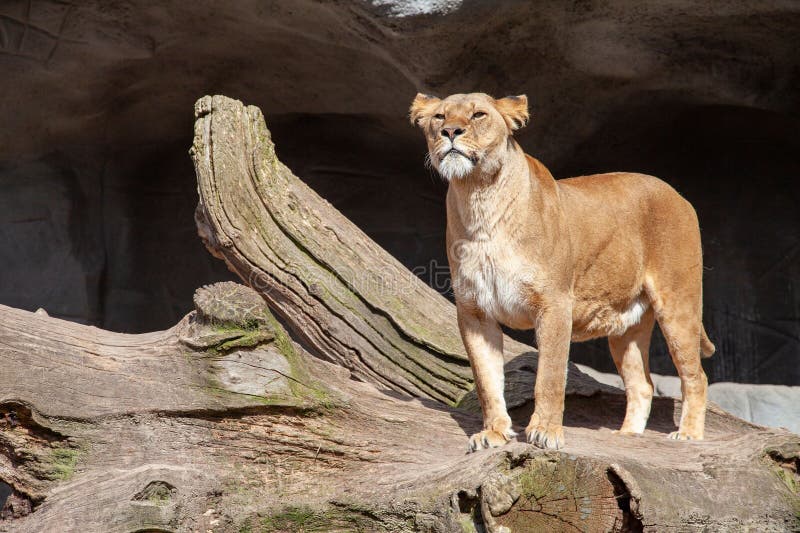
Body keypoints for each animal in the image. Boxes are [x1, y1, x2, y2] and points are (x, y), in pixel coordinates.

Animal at [410, 92, 714, 451]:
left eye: (478, 115)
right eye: (440, 116)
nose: (450, 132)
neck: (479, 199)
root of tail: (679, 196)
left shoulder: (554, 304)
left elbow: (550, 375)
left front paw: (545, 432)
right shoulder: (474, 312)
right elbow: (486, 380)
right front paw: (494, 433)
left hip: (678, 303)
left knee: (696, 376)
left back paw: (689, 435)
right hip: (626, 327)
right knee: (642, 384)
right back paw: (627, 435)